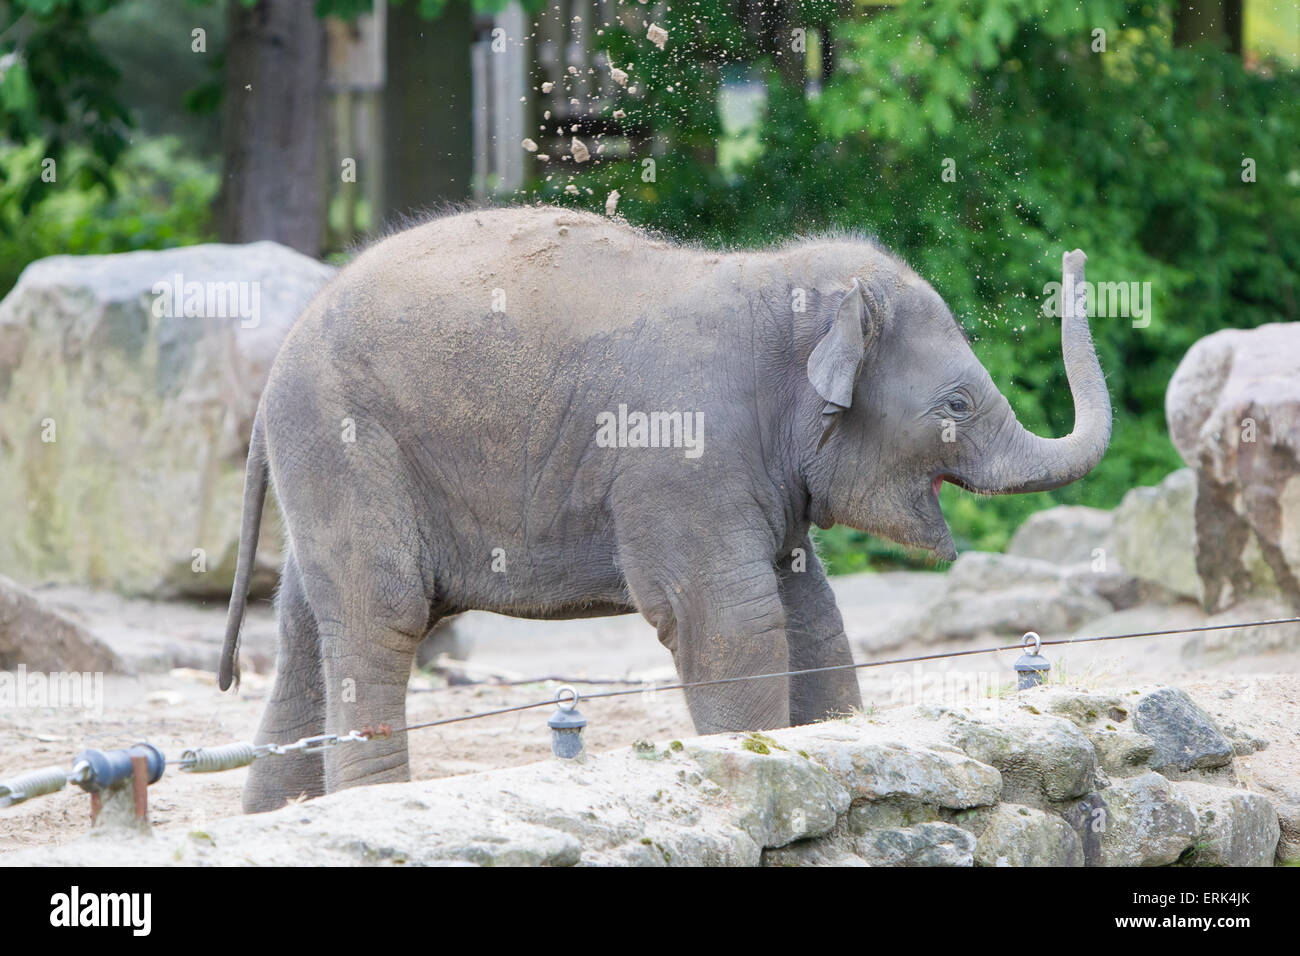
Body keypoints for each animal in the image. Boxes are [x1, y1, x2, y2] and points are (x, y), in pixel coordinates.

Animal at [219, 206, 1110, 812]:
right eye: (956, 405)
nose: (1075, 255)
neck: (779, 287)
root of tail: (272, 376)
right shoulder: (684, 459)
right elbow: (732, 622)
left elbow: (812, 616)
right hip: (346, 444)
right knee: (384, 615)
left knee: (305, 634)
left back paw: (275, 817)